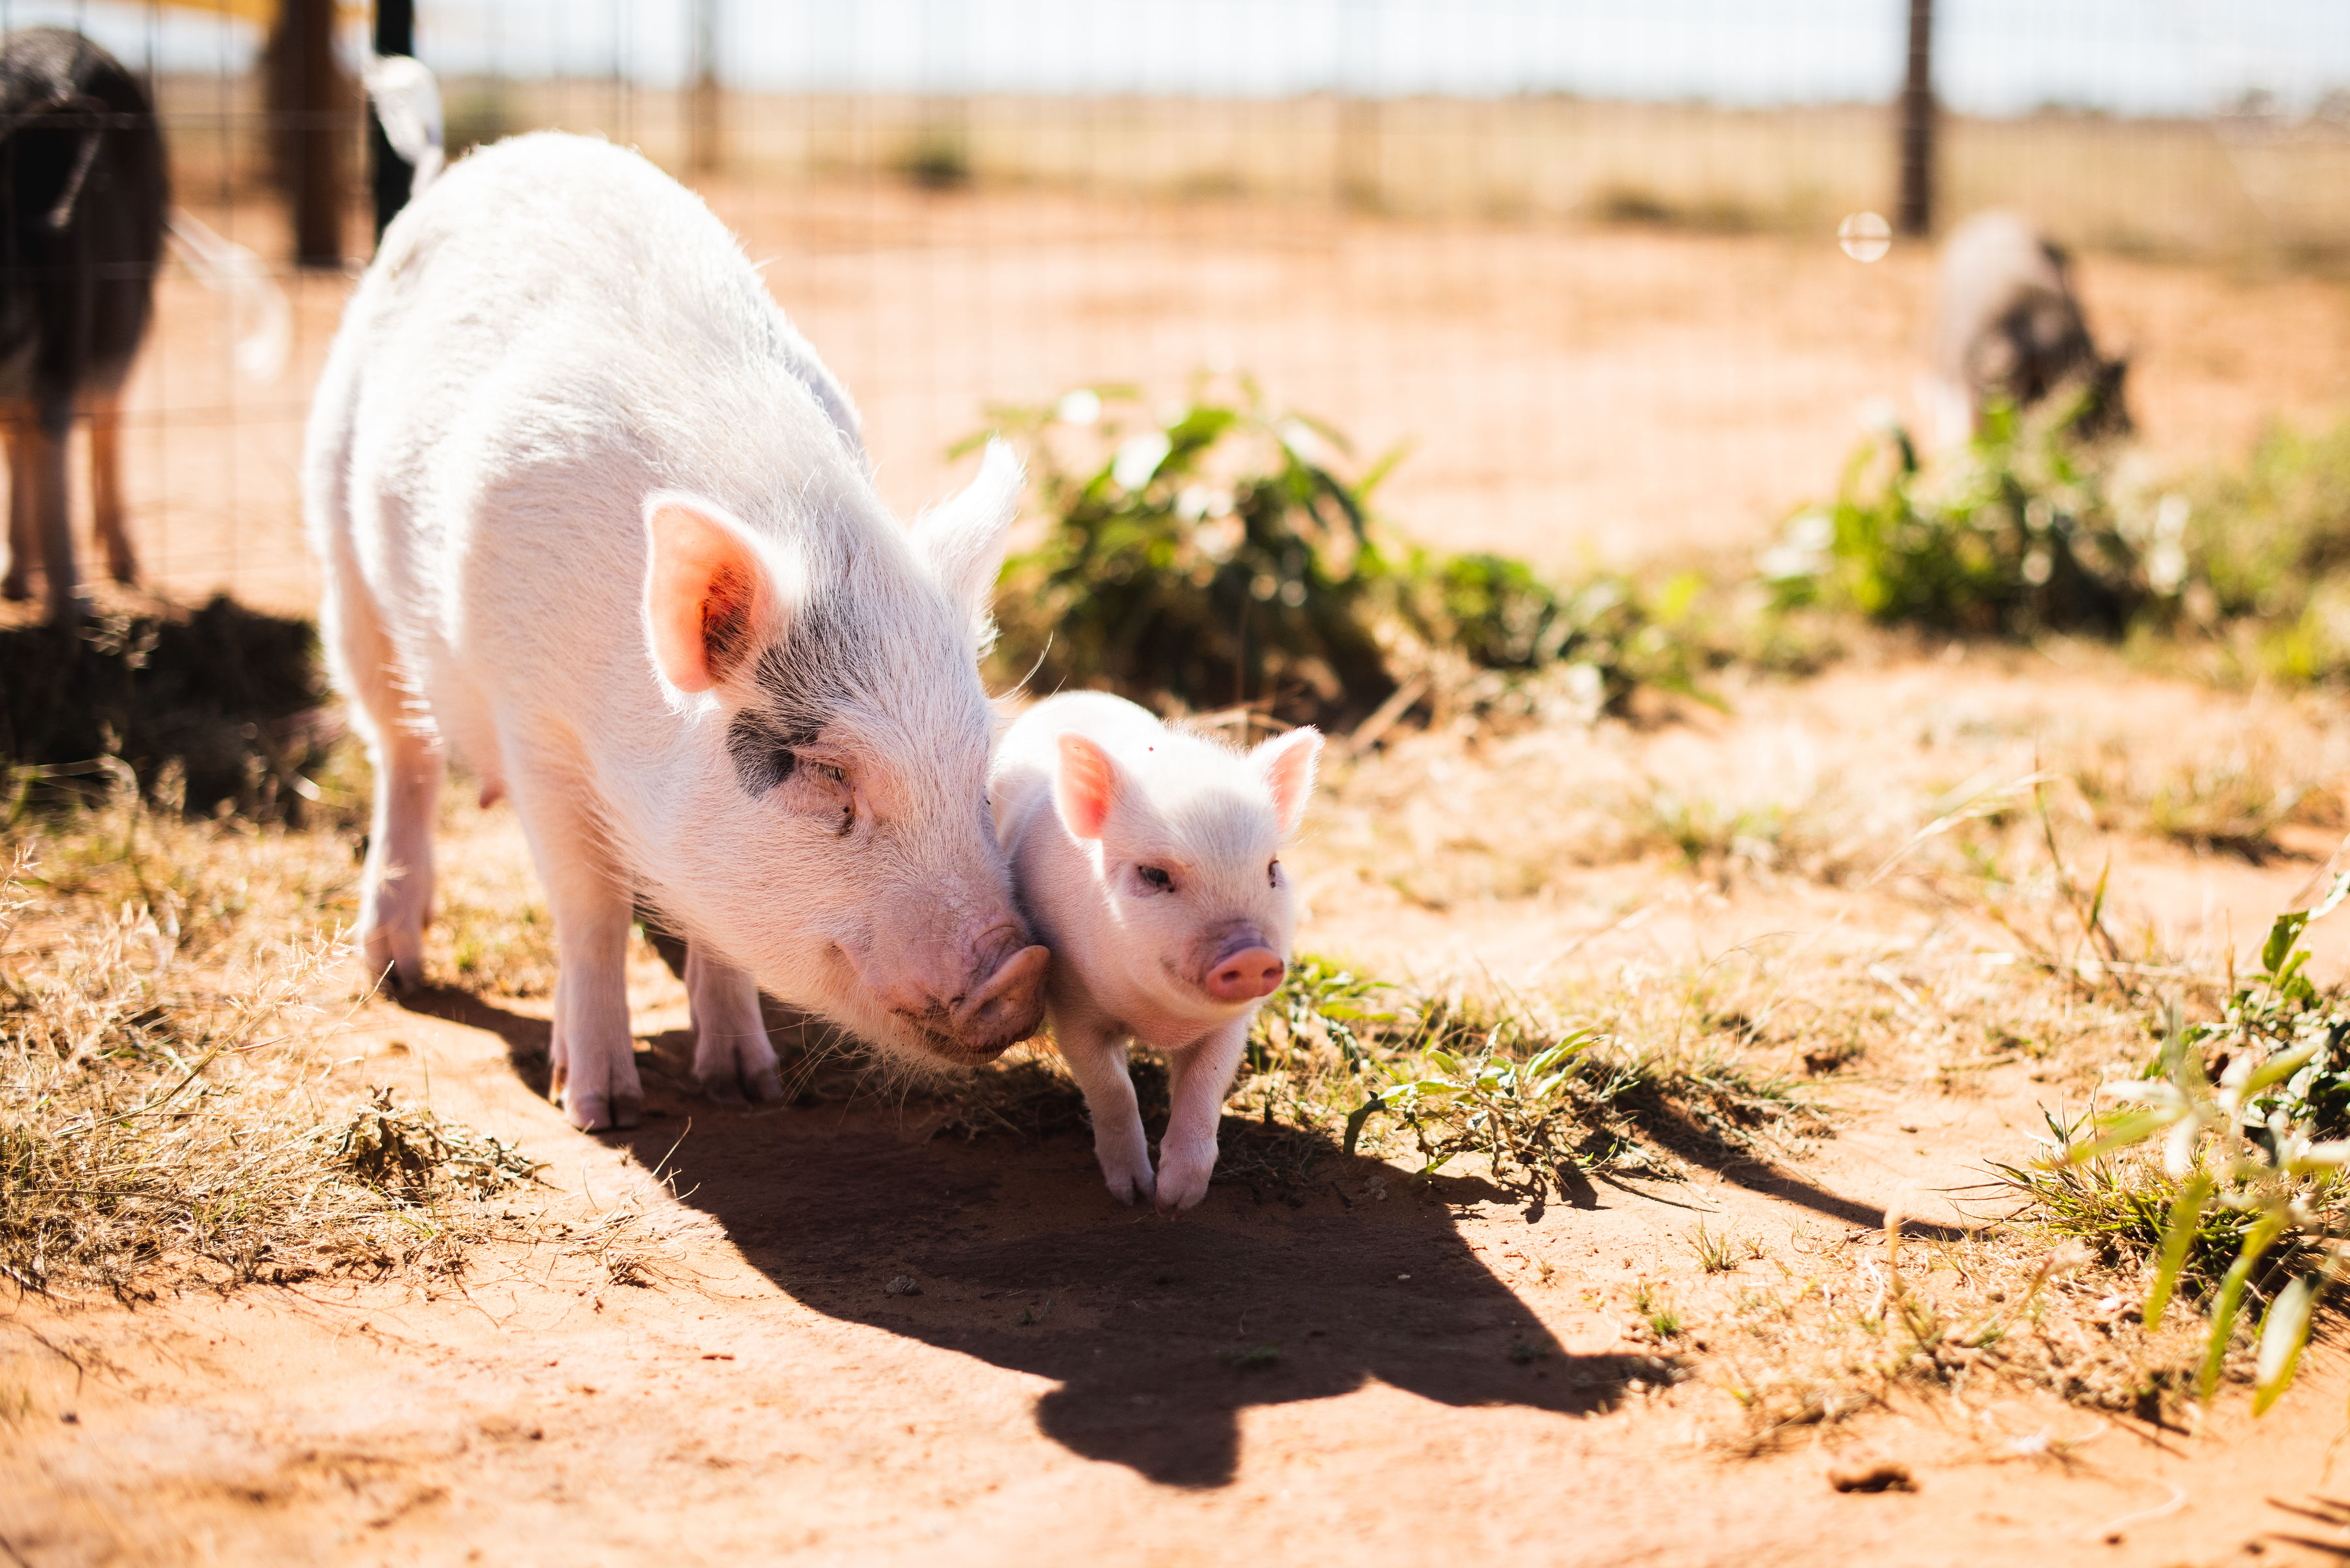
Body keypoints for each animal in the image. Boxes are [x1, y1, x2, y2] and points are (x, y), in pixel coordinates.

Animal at [0, 27, 168, 623]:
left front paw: (73, 615)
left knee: (106, 420)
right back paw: (14, 585)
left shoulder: (64, 346)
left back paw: (125, 571)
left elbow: (55, 478)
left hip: (133, 310)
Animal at [305, 132, 1048, 1131]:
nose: (1026, 968)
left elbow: (712, 928)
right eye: (826, 771)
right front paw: (598, 1108)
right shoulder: (533, 723)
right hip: (343, 565)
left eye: (980, 771)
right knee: (402, 756)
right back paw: (394, 966)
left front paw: (746, 1083)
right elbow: (588, 910)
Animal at [990, 692, 1321, 1211]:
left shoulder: (1232, 1025)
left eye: (1272, 869)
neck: (1160, 1024)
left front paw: (1177, 1202)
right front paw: (1133, 1195)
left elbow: (1205, 1090)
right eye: (1154, 874)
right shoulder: (1071, 1005)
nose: (1250, 955)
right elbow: (1112, 1090)